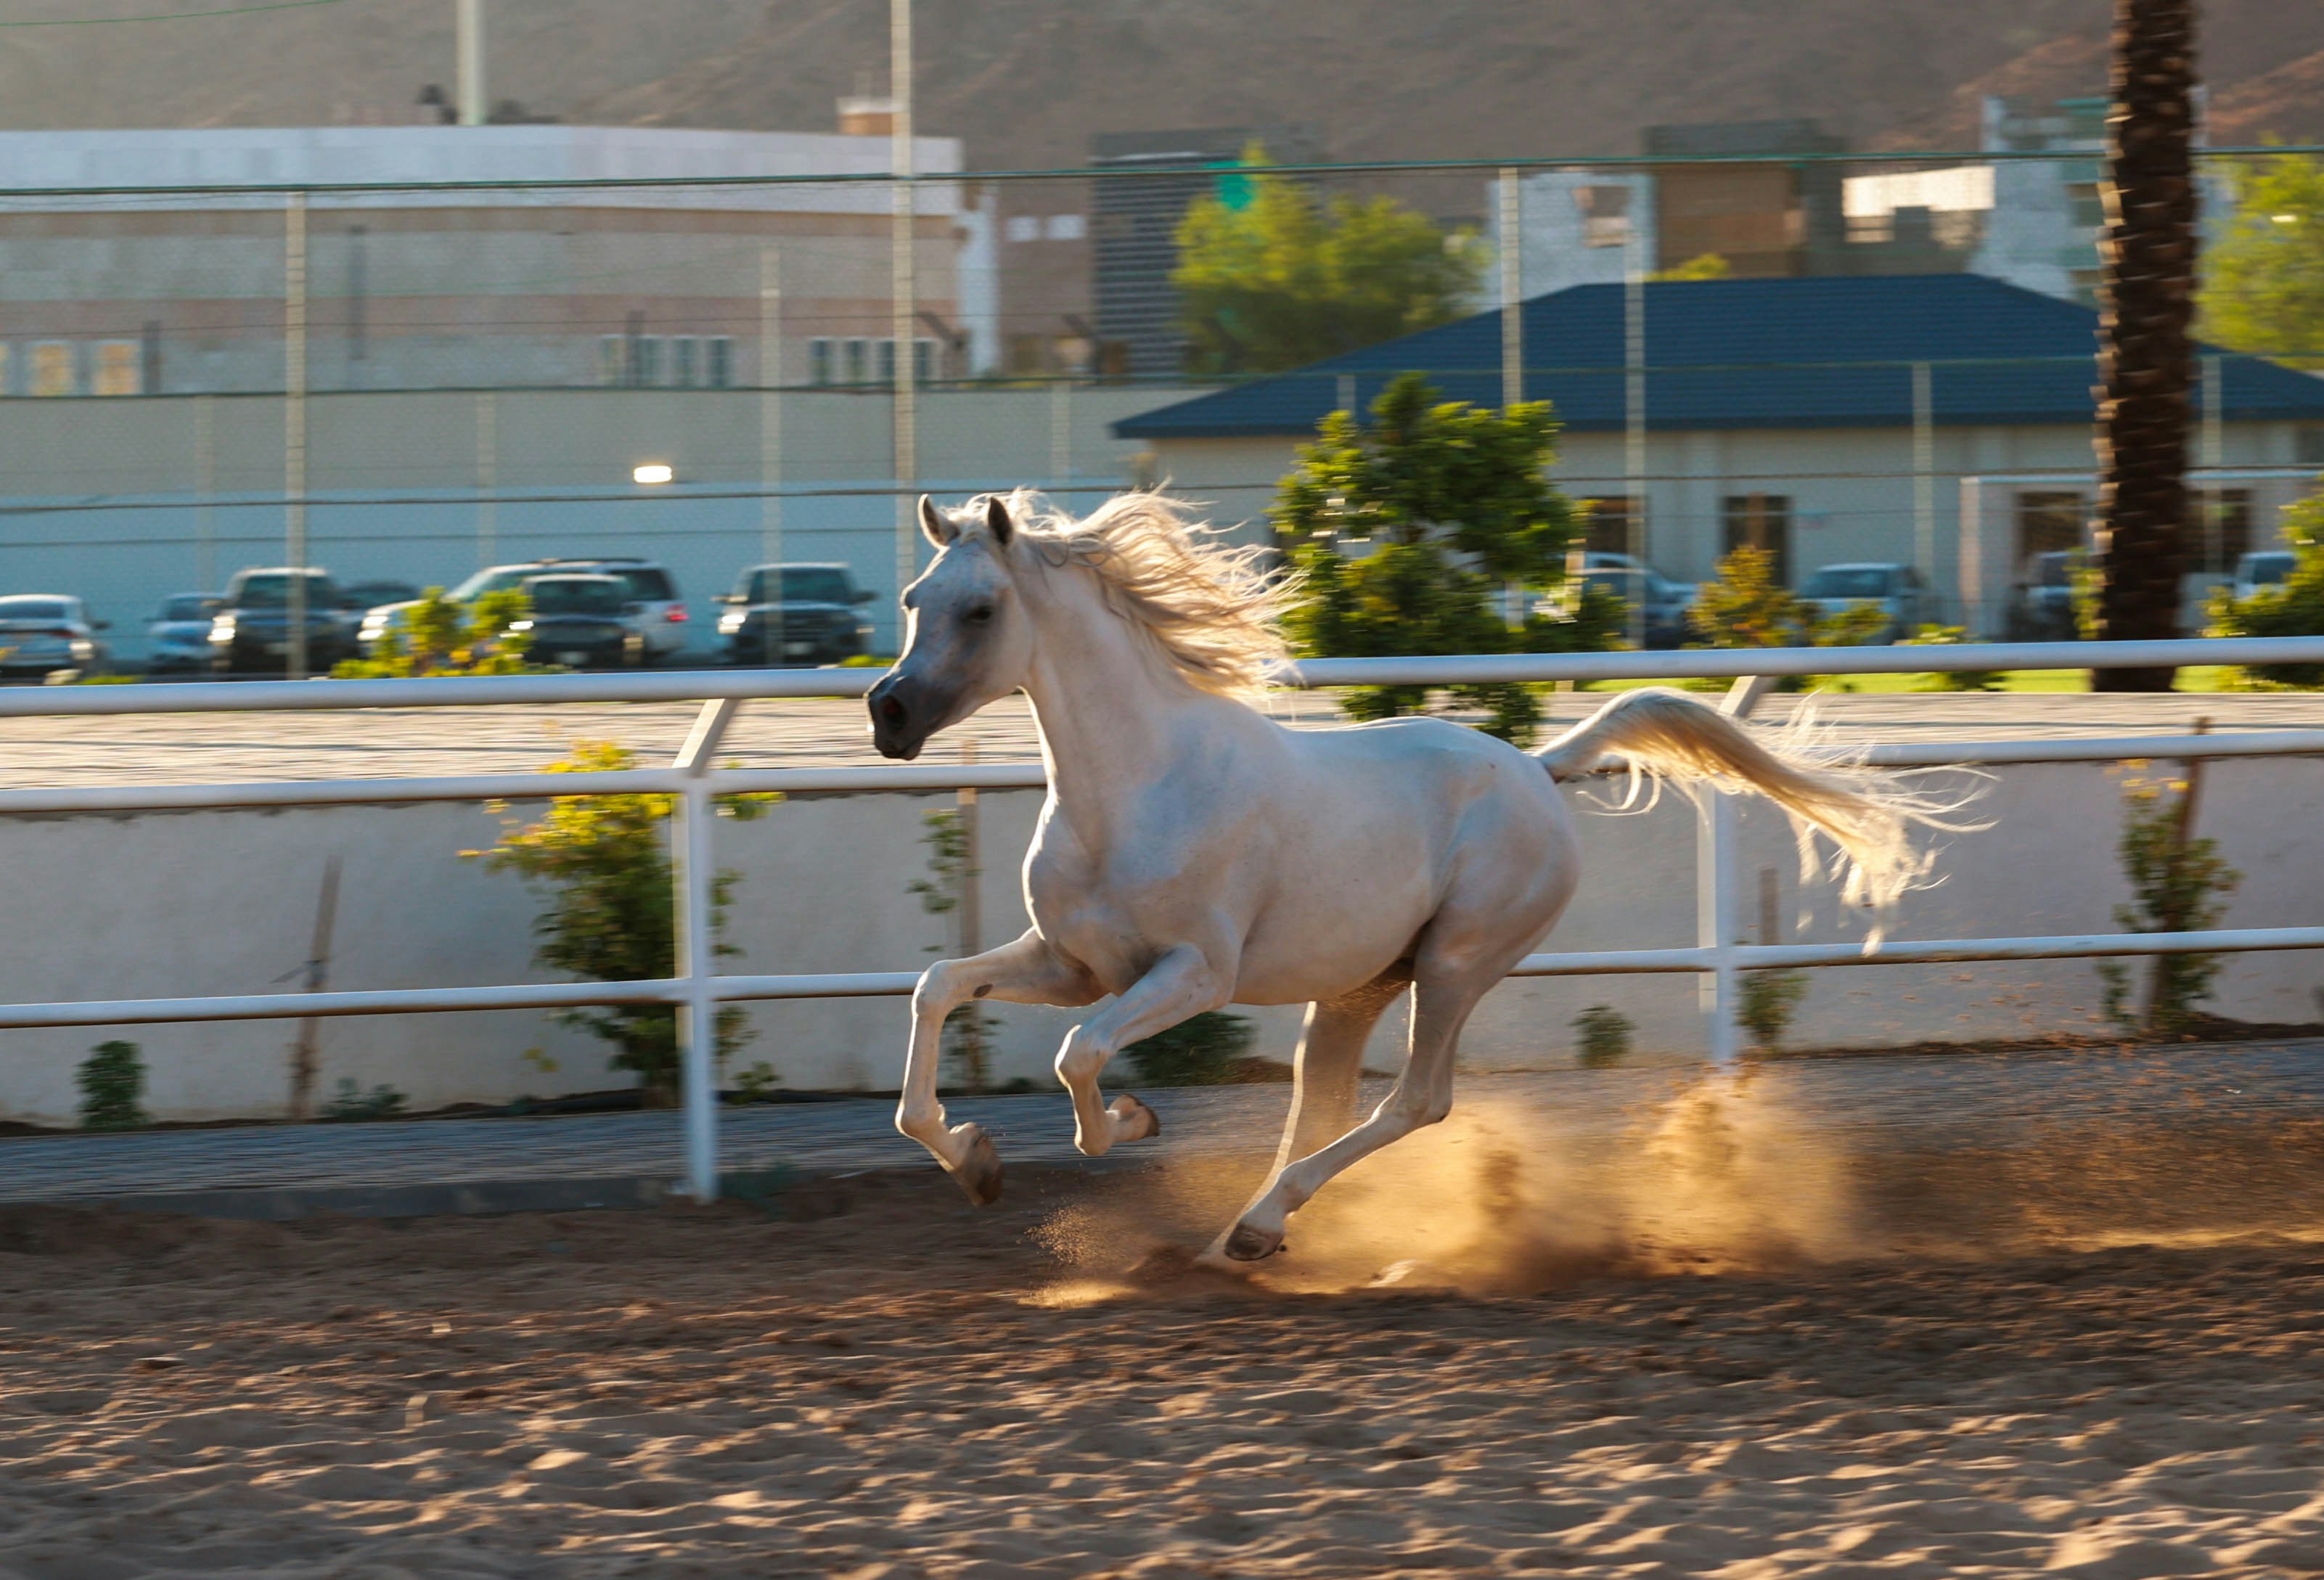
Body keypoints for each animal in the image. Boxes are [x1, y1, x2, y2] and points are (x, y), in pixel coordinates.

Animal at [868, 489, 1956, 1266]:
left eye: (979, 607)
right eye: (913, 600)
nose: (888, 714)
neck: (1136, 785)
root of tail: (1536, 770)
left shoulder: (1191, 974)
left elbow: (1080, 1056)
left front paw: (1128, 1122)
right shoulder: (1072, 964)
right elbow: (936, 989)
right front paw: (974, 1160)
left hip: (1457, 962)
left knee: (1417, 1101)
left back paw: (1260, 1226)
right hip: (1360, 983)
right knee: (1325, 1103)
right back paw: (1244, 1235)